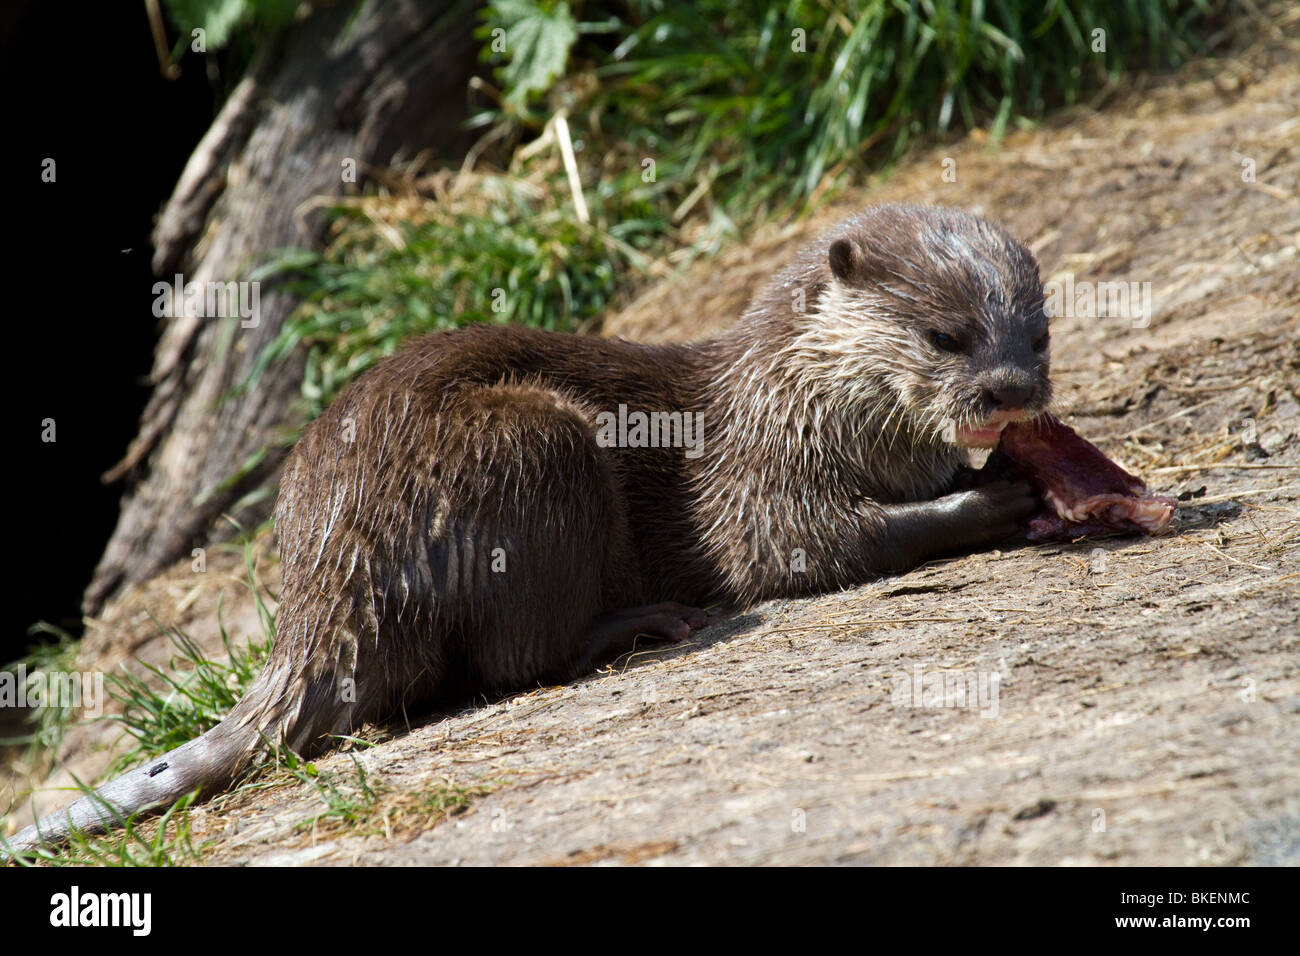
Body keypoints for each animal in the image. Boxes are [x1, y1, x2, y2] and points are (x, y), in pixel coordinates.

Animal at [6, 203, 1049, 855]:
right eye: (945, 337)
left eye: (1037, 333)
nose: (1012, 391)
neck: (793, 393)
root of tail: (327, 571)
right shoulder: (762, 474)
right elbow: (804, 548)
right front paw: (993, 501)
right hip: (532, 442)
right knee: (515, 660)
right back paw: (637, 626)